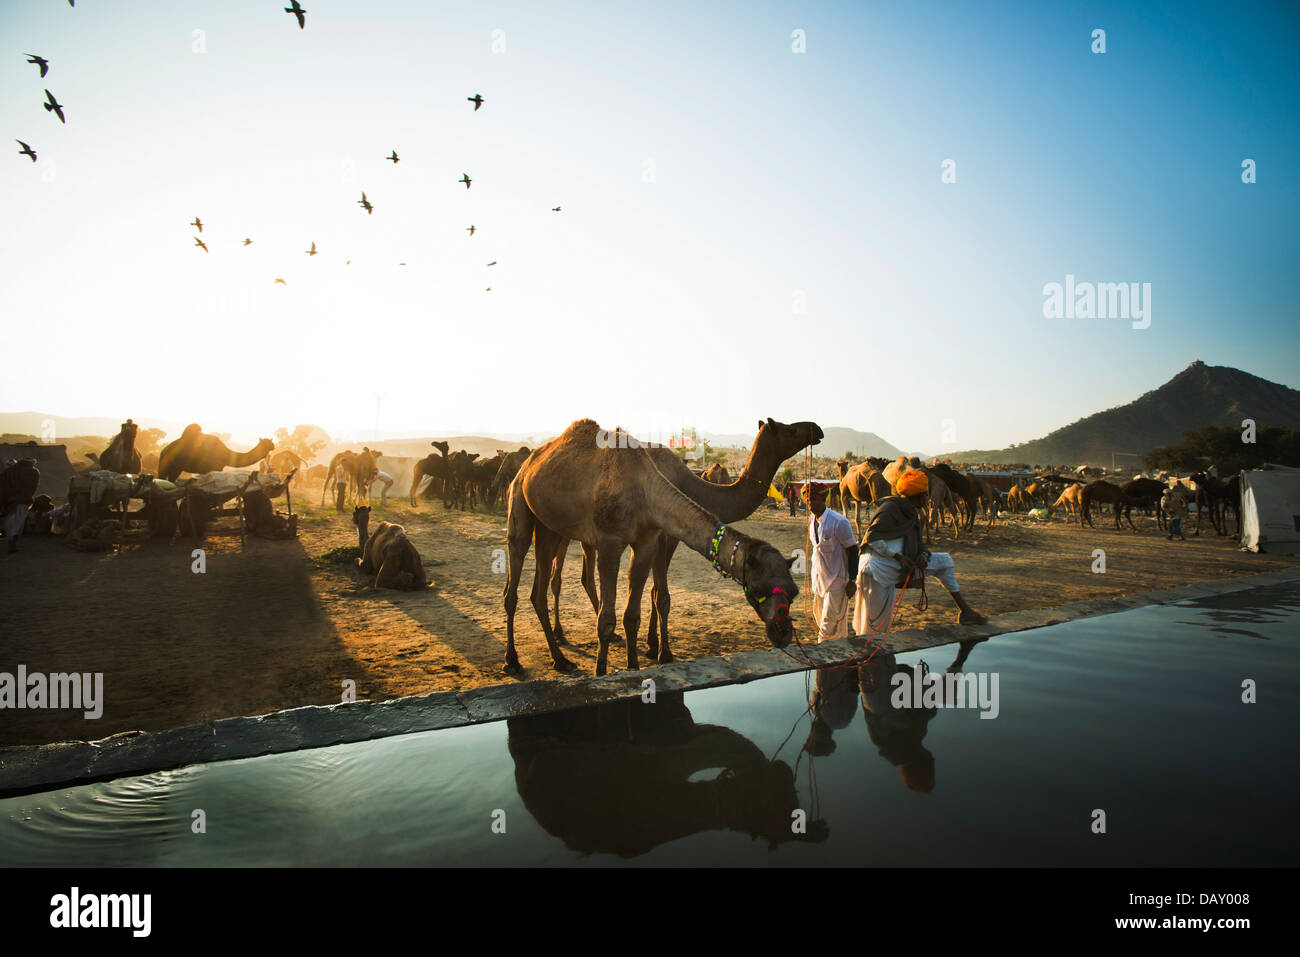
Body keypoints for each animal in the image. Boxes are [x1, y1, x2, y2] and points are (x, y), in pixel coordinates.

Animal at [504, 419, 804, 677]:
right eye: (759, 589)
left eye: (794, 592)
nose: (783, 632)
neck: (648, 489)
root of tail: (529, 463)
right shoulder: (613, 543)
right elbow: (614, 616)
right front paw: (613, 669)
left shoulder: (648, 541)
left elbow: (634, 612)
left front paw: (637, 664)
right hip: (519, 501)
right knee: (516, 576)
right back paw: (515, 661)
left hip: (550, 527)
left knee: (540, 591)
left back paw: (560, 658)